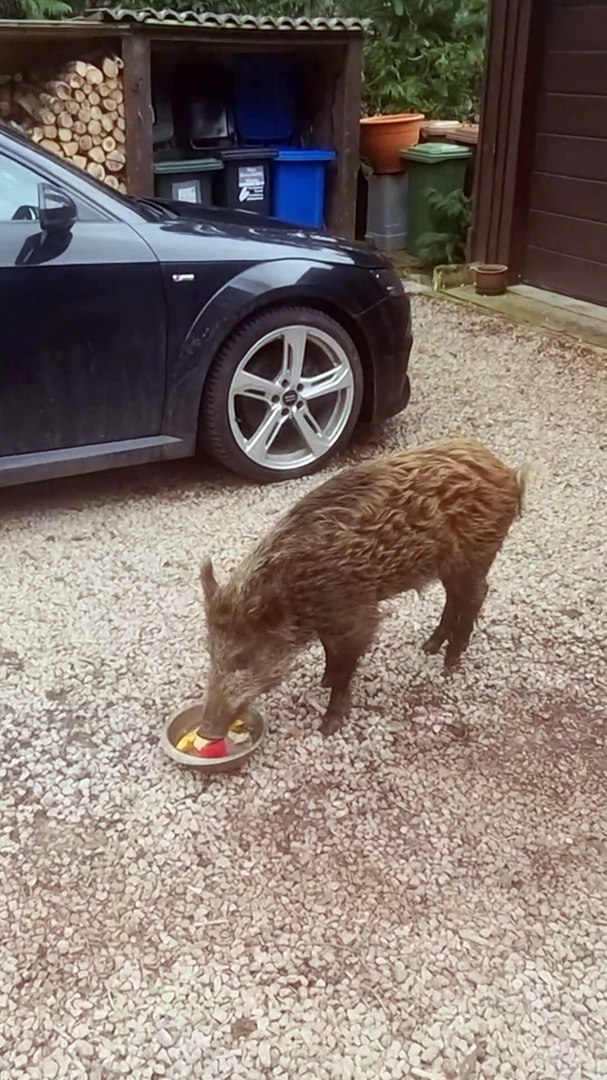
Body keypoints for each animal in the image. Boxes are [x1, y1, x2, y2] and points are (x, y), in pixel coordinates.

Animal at [199, 437, 531, 738]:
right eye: (211, 653)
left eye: (243, 657)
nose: (206, 731)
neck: (298, 590)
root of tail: (508, 472)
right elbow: (330, 653)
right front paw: (323, 682)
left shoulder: (355, 613)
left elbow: (346, 665)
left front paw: (328, 726)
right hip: (448, 564)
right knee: (455, 597)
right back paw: (429, 647)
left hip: (474, 554)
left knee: (477, 594)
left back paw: (449, 664)